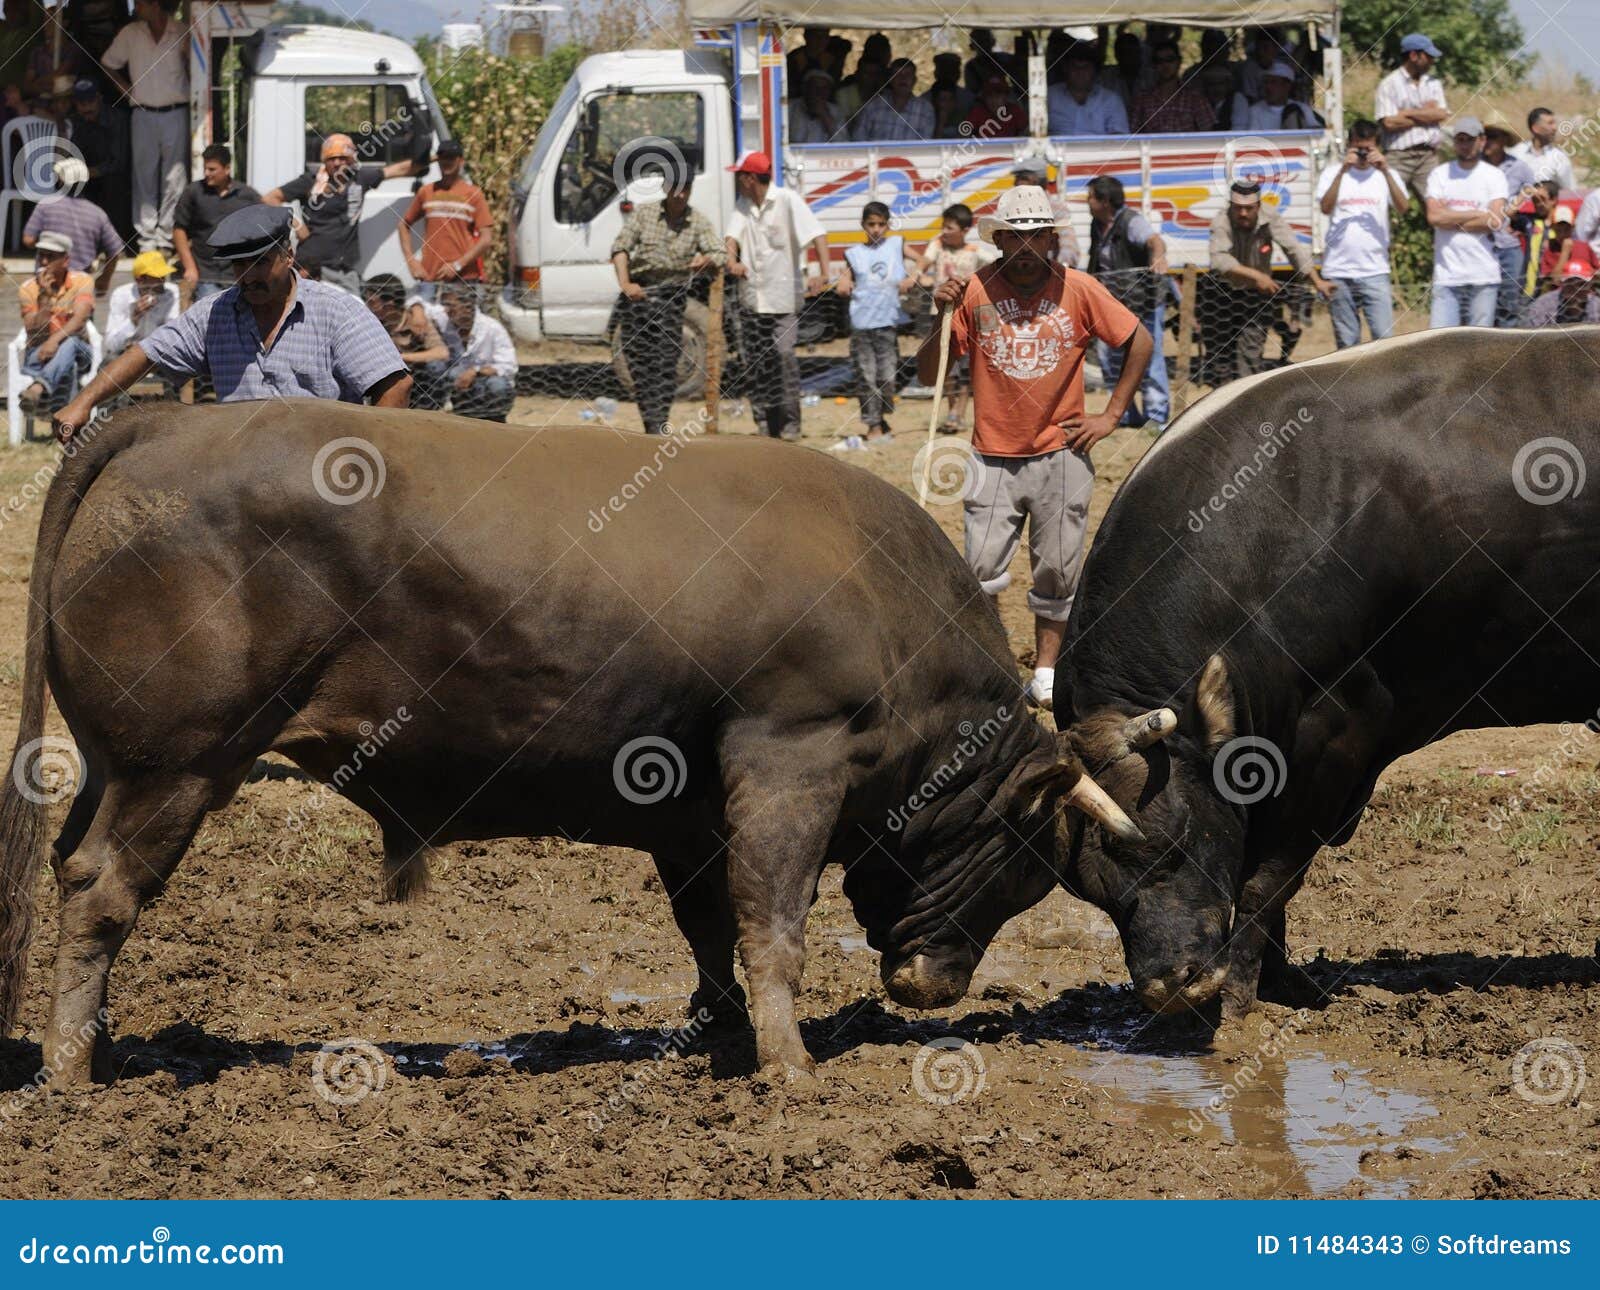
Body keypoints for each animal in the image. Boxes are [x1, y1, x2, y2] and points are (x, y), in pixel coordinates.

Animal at [0, 402, 1137, 1085]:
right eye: (1029, 864)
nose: (931, 987)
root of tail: (168, 418)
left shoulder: (692, 809)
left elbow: (709, 927)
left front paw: (724, 1030)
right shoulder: (788, 760)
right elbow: (772, 925)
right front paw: (789, 1067)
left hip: (118, 768)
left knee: (71, 866)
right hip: (179, 765)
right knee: (100, 889)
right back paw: (71, 1070)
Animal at [1051, 326, 1600, 1019]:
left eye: (1173, 843)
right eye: (1090, 889)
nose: (1168, 986)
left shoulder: (1333, 737)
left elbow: (1266, 881)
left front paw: (1240, 1002)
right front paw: (1278, 982)